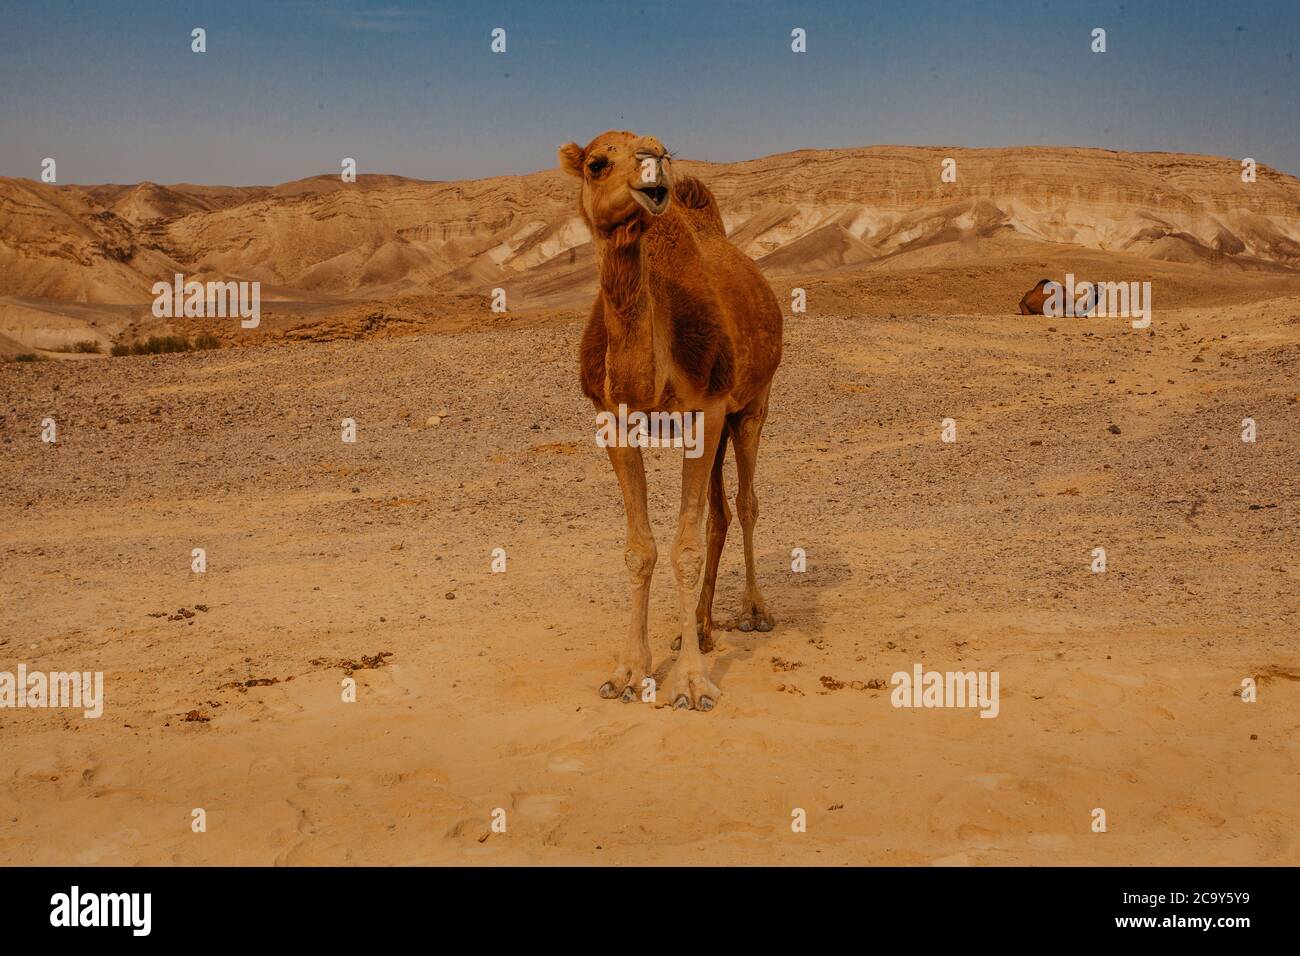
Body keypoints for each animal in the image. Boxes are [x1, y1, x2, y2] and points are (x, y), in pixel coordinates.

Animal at [560, 130, 783, 712]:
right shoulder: (613, 419)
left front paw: (692, 685)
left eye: (657, 148)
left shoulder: (707, 410)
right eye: (596, 163)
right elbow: (641, 549)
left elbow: (684, 547)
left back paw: (753, 611)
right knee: (720, 514)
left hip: (751, 404)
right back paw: (698, 628)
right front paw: (628, 673)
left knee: (746, 505)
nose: (653, 166)